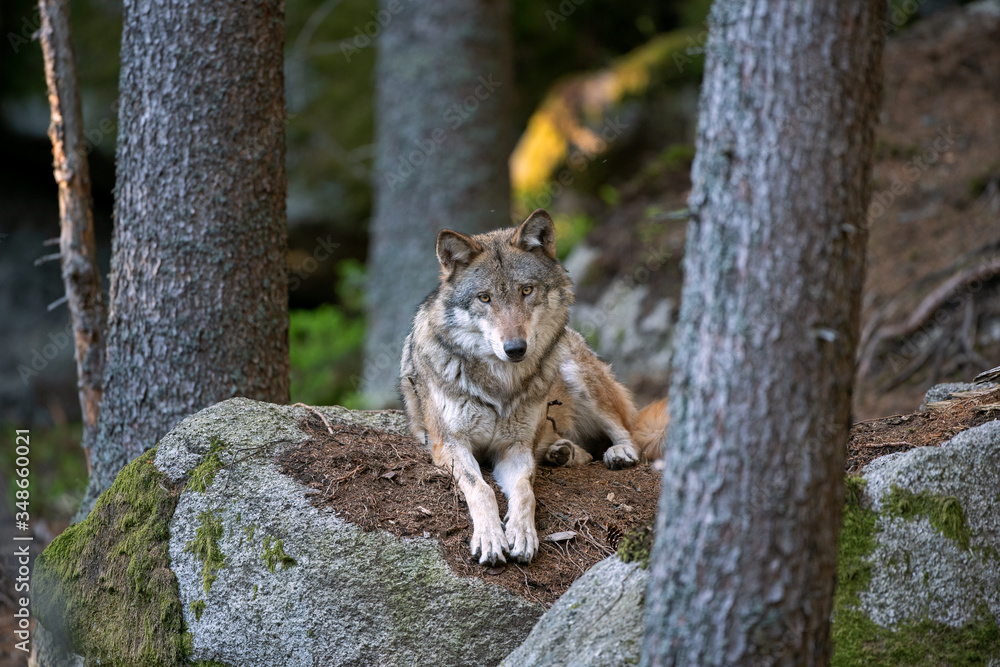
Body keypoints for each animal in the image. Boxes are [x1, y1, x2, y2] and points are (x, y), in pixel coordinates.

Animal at [400, 209, 668, 565]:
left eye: (526, 290)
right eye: (485, 298)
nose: (515, 348)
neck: (501, 385)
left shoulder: (514, 447)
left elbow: (525, 490)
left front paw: (522, 534)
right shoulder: (450, 444)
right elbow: (481, 488)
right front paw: (490, 538)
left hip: (572, 370)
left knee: (628, 433)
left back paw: (616, 452)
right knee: (583, 449)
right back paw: (562, 452)